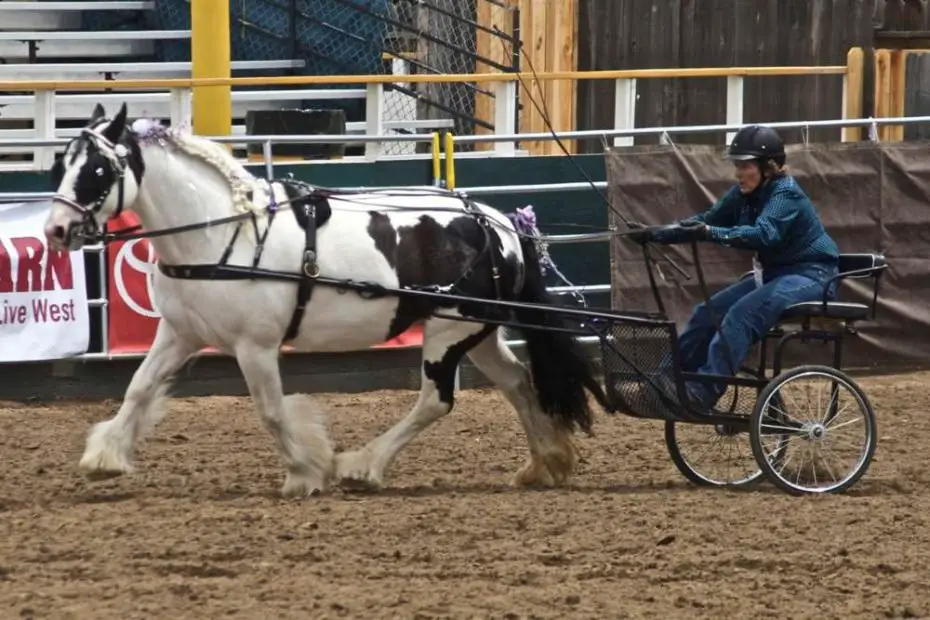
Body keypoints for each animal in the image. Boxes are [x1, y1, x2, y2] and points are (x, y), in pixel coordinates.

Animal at [43, 102, 613, 498]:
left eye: (97, 171)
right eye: (59, 165)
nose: (56, 230)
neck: (223, 232)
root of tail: (498, 224)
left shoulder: (255, 346)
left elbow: (271, 411)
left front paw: (306, 471)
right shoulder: (180, 333)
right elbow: (138, 388)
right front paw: (106, 457)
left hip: (449, 331)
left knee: (436, 401)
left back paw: (364, 466)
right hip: (478, 330)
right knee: (518, 382)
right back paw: (545, 462)